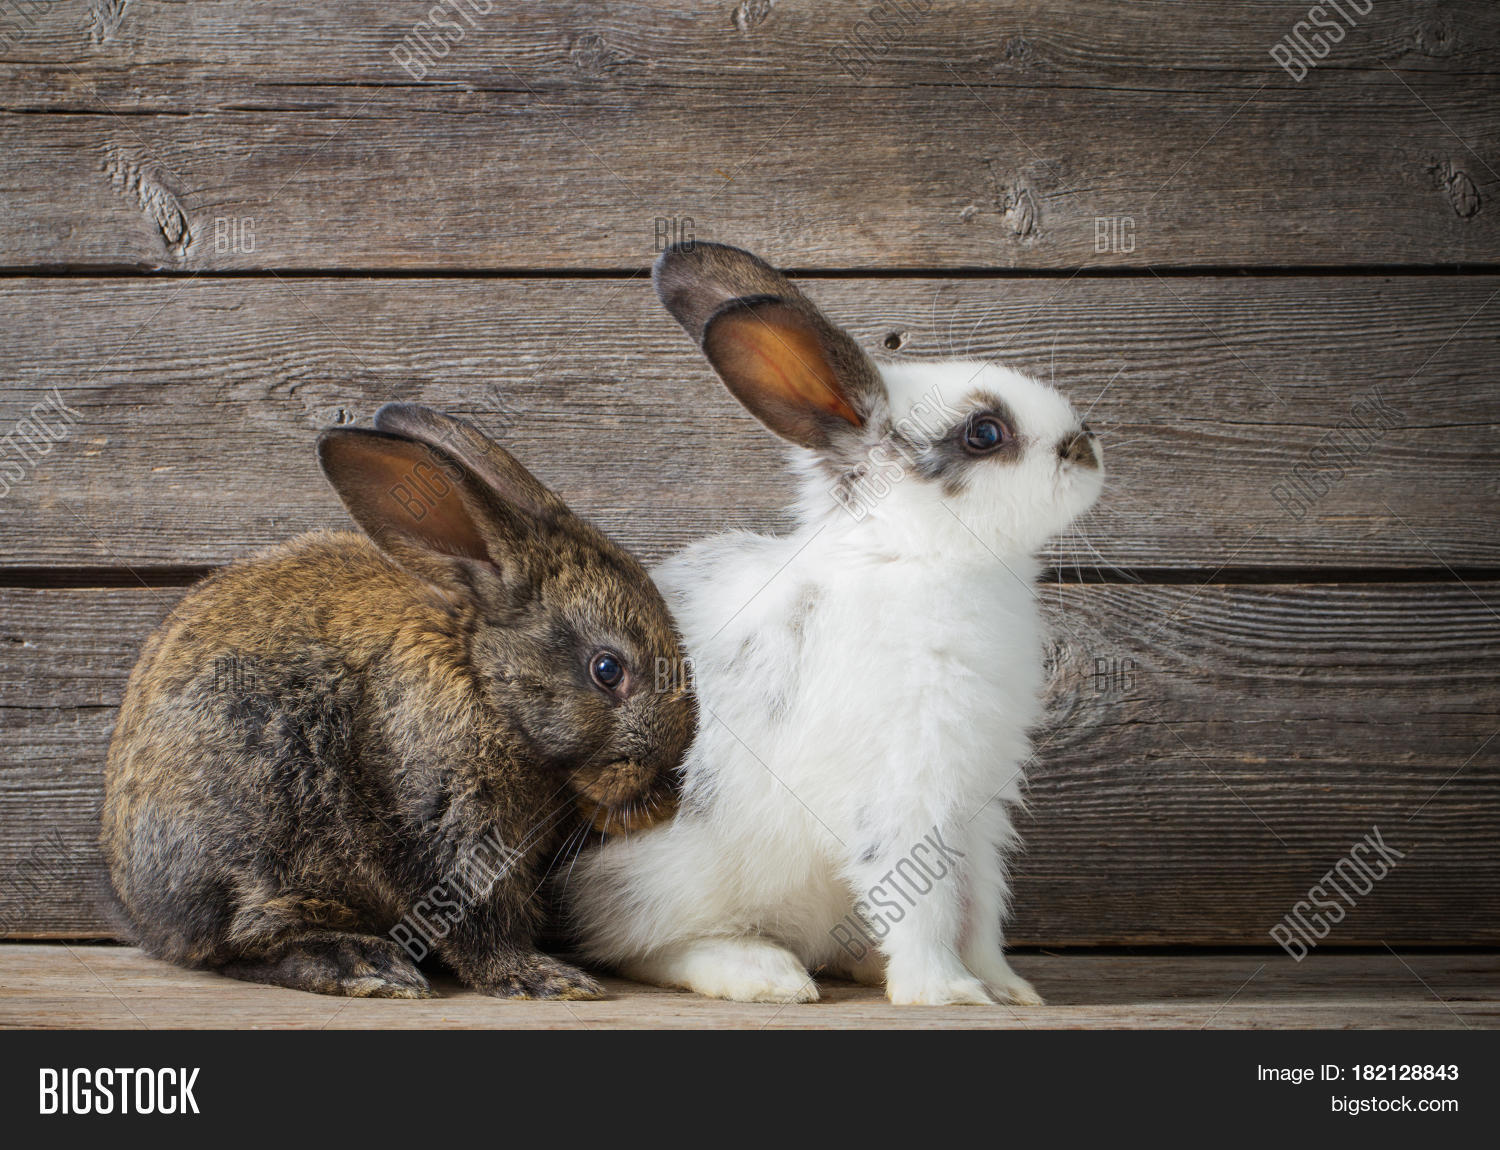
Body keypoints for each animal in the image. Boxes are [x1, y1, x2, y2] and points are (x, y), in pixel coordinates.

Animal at [101, 403, 697, 1000]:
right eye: (608, 670)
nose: (670, 777)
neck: (483, 680)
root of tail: (141, 911)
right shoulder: (446, 814)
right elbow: (476, 915)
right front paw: (543, 979)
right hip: (264, 827)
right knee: (245, 939)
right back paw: (366, 965)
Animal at [566, 243, 1104, 1006]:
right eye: (985, 433)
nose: (1086, 448)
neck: (914, 556)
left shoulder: (979, 804)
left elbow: (979, 907)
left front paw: (1007, 990)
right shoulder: (904, 793)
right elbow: (923, 902)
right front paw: (947, 993)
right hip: (668, 879)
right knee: (633, 944)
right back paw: (764, 974)